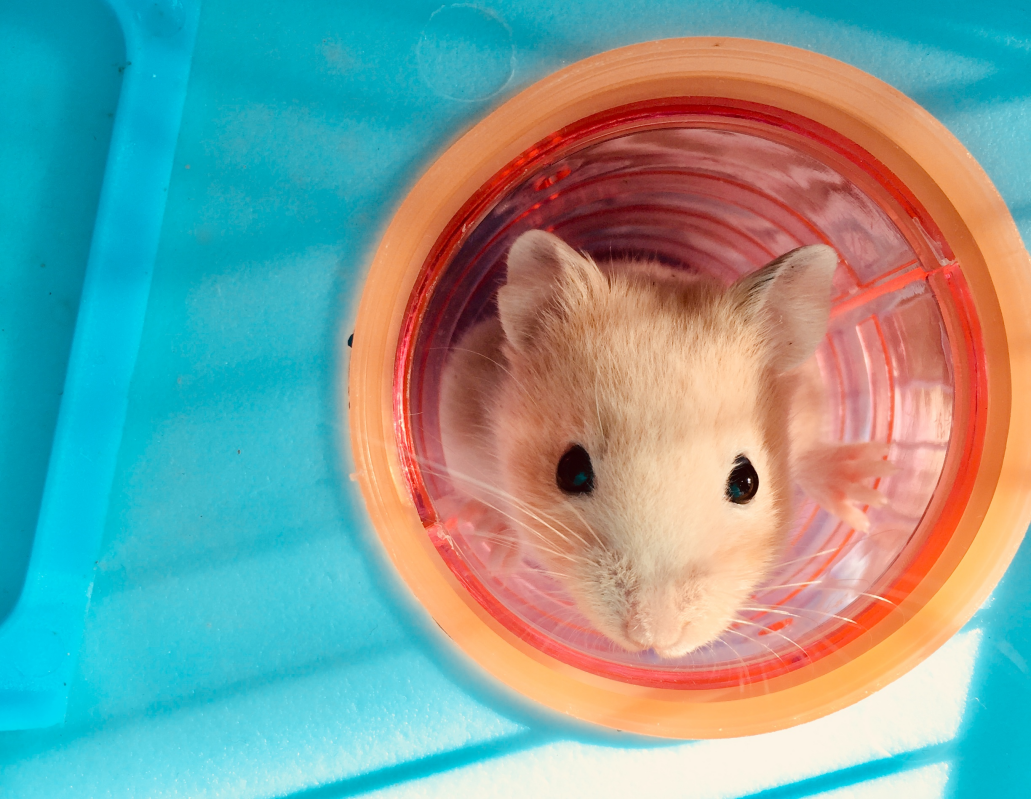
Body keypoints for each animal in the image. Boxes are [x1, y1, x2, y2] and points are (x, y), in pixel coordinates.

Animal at [438, 230, 891, 659]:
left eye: (747, 482)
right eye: (570, 471)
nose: (655, 640)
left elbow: (810, 455)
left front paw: (873, 489)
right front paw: (496, 554)